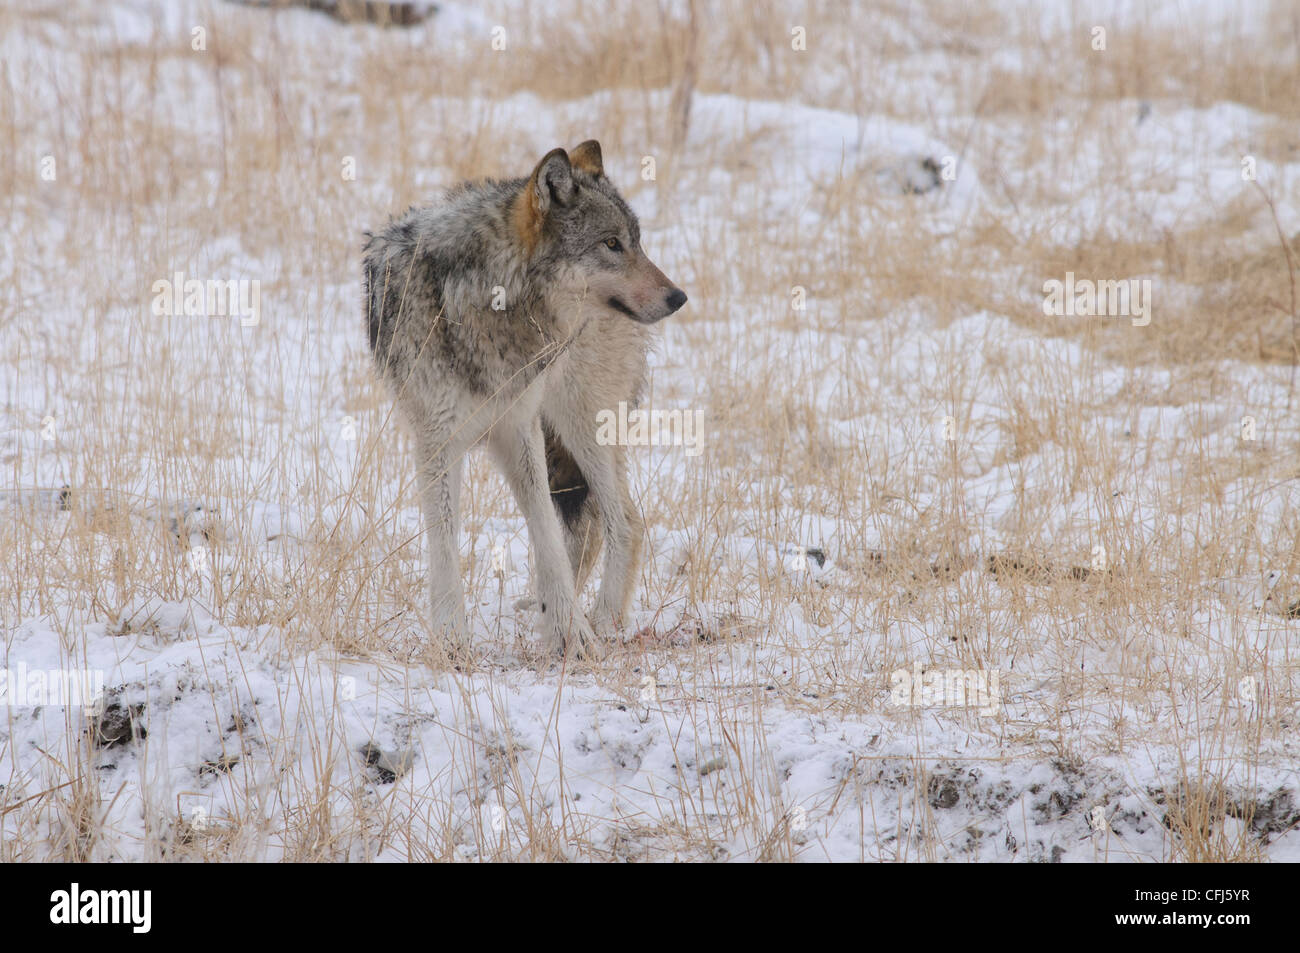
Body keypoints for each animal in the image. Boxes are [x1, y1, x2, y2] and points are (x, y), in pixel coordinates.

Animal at [363, 141, 686, 659]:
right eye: (611, 244)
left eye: (636, 242)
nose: (678, 297)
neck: (490, 306)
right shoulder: (437, 440)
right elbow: (445, 539)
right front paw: (452, 638)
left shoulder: (519, 430)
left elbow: (547, 536)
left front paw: (573, 634)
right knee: (599, 523)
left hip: (581, 424)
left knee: (626, 520)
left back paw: (603, 620)